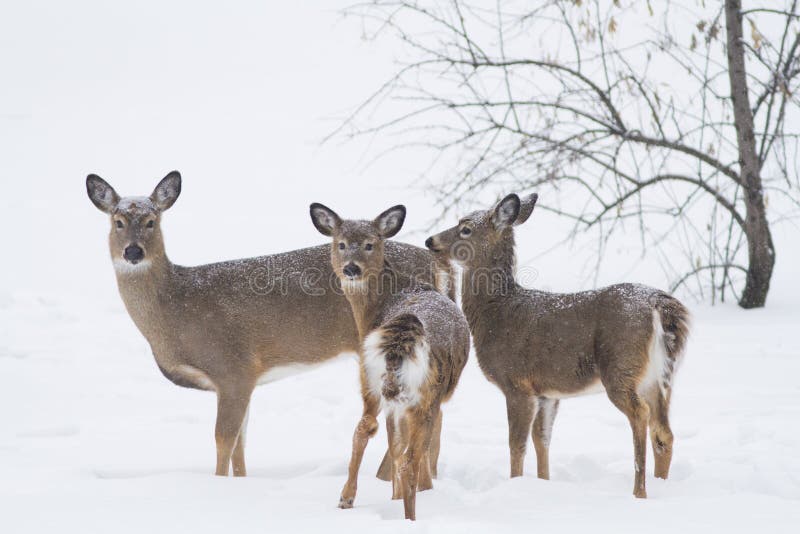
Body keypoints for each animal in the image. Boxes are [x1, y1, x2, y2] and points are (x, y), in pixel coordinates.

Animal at [85, 171, 448, 478]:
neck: (176, 309)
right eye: (117, 221)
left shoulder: (233, 367)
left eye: (151, 221)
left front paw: (218, 484)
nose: (133, 252)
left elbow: (224, 439)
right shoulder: (241, 379)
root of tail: (438, 264)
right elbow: (240, 445)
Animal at [309, 202, 470, 520]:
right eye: (341, 244)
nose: (351, 267)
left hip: (370, 378)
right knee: (410, 459)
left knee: (363, 428)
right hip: (426, 395)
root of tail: (403, 335)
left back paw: (346, 498)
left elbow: (390, 445)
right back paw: (410, 518)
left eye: (370, 244)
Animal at [425, 193, 690, 499]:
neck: (496, 311)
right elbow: (542, 440)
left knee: (641, 415)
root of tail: (662, 306)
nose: (430, 241)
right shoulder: (546, 392)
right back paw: (661, 486)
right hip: (661, 377)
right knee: (664, 431)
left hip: (622, 368)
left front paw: (515, 484)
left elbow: (517, 444)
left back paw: (639, 492)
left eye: (465, 228)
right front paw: (543, 483)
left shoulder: (516, 383)